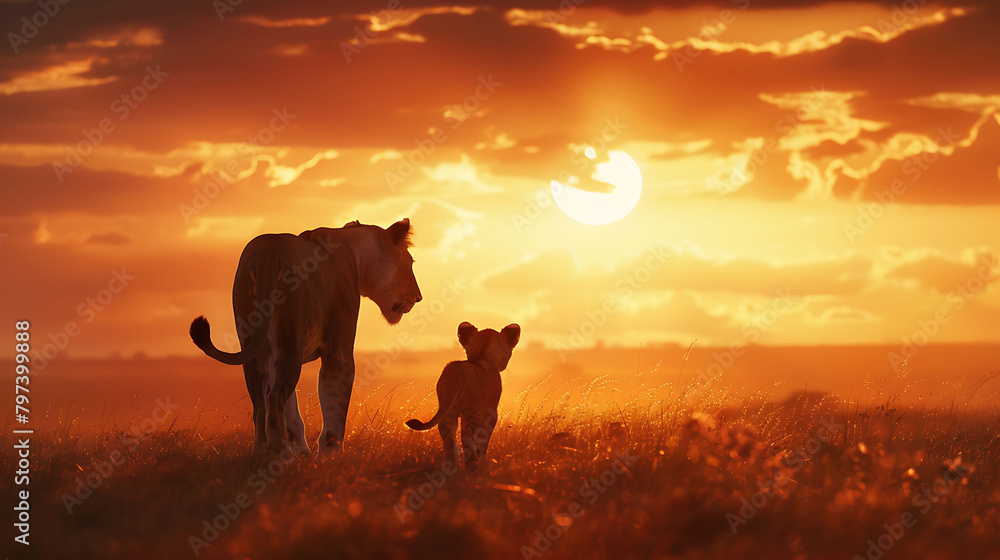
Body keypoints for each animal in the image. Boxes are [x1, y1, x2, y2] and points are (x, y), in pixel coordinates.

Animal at [189, 219, 421, 455]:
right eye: (410, 262)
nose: (419, 297)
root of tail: (268, 247)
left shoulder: (277, 356)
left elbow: (293, 412)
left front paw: (303, 453)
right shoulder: (339, 352)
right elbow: (334, 411)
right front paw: (331, 456)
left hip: (256, 348)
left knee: (261, 405)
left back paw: (262, 453)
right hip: (291, 339)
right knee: (275, 398)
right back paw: (279, 452)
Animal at [405, 321, 520, 470]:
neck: (482, 356)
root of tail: (455, 372)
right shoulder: (491, 412)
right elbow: (483, 440)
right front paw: (483, 461)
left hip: (447, 413)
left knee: (450, 439)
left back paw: (453, 468)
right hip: (473, 411)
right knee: (468, 435)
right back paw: (474, 466)